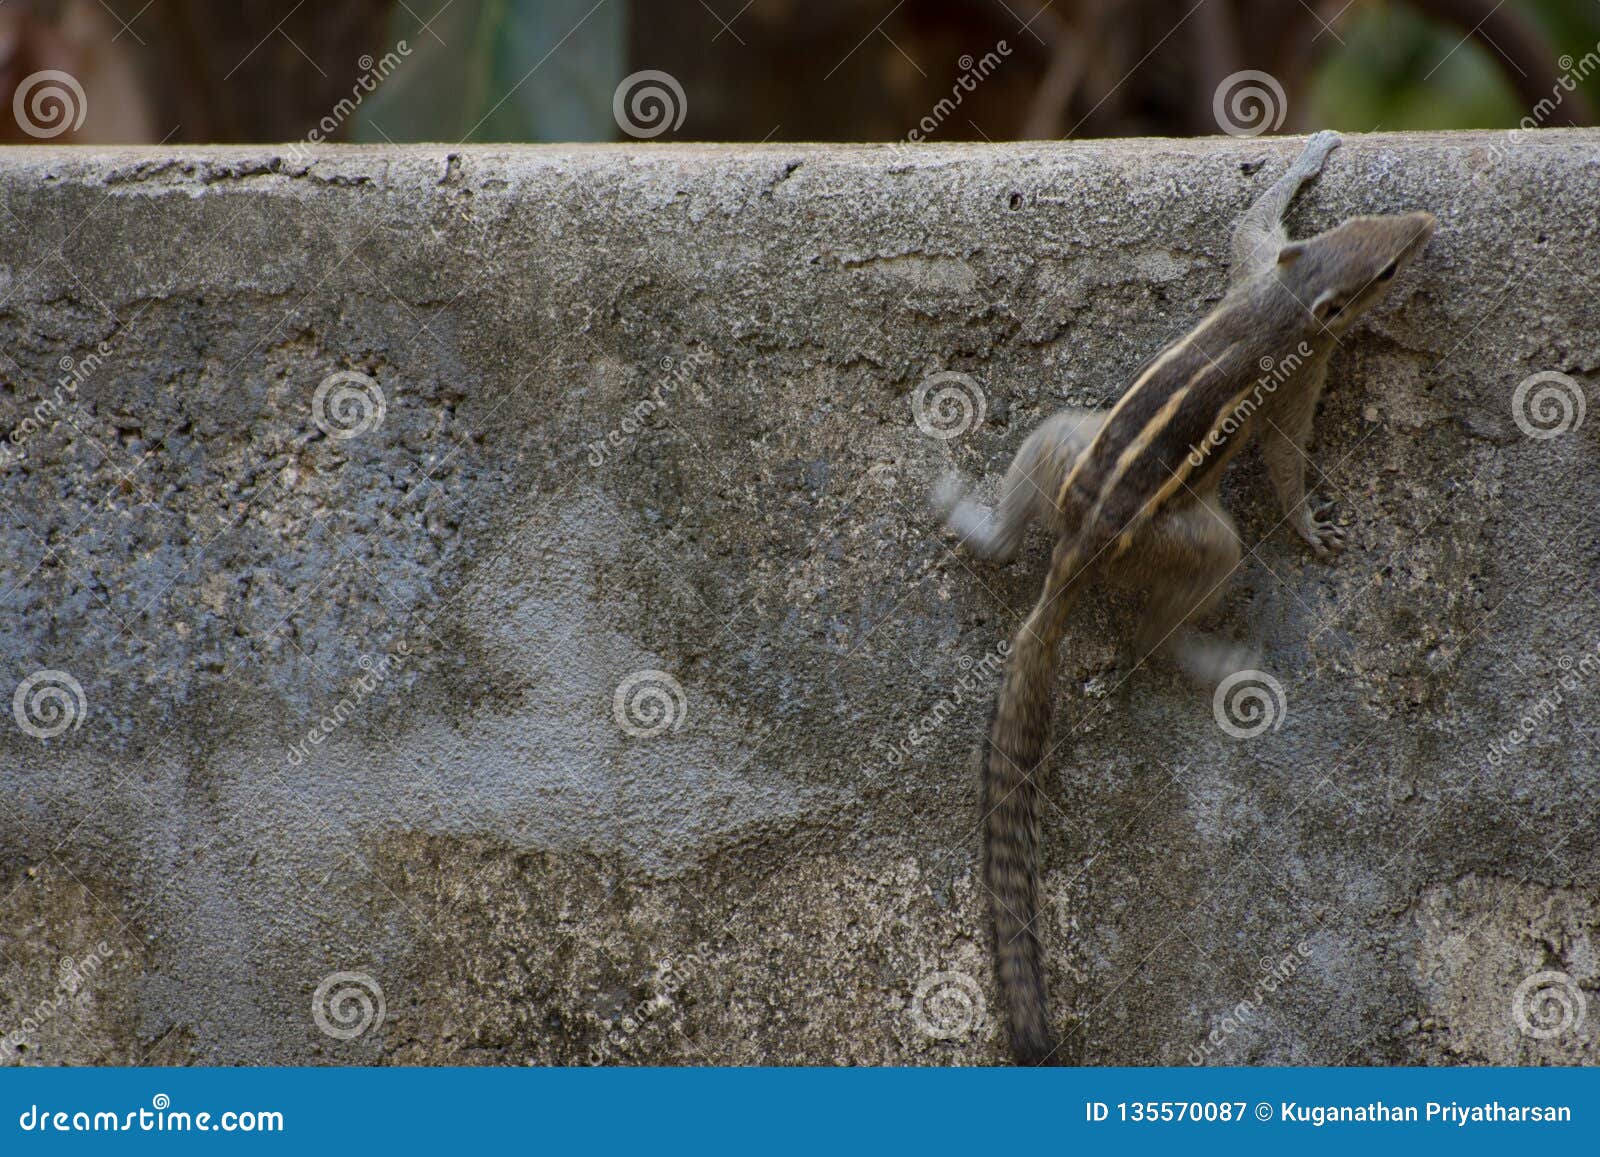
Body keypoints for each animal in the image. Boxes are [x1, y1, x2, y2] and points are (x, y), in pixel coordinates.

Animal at [931, 131, 1436, 1065]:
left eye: (1367, 228)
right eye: (1384, 269)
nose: (1424, 225)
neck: (1285, 299)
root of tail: (1076, 556)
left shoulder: (1260, 260)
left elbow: (1254, 215)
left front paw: (1305, 153)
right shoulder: (1299, 379)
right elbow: (1285, 463)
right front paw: (1312, 526)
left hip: (1061, 438)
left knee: (1019, 515)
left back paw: (967, 515)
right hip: (1201, 541)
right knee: (1159, 628)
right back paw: (1207, 655)